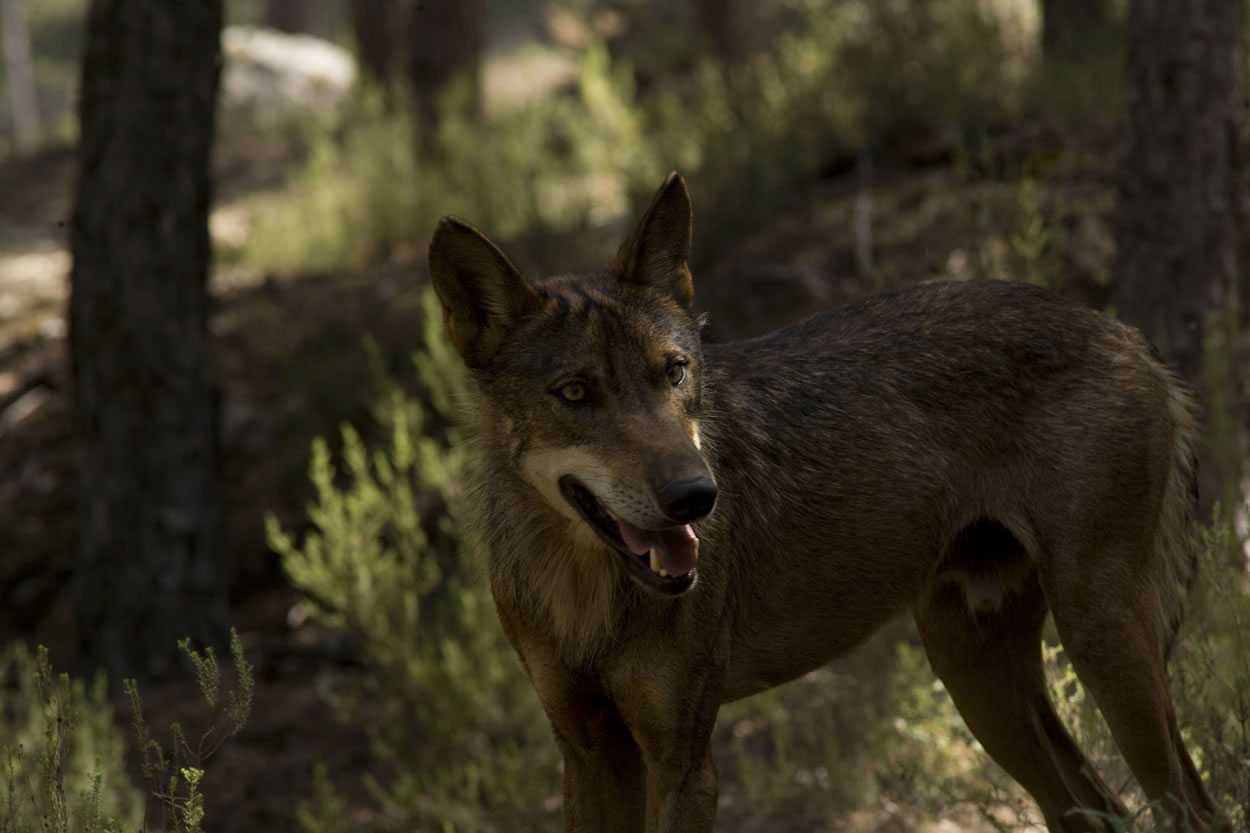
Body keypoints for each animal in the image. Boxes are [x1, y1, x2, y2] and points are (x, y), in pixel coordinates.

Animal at [427, 172, 1225, 833]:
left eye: (674, 371)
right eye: (574, 392)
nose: (696, 497)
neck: (583, 590)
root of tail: (1126, 333)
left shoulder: (685, 764)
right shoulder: (591, 753)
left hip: (1099, 643)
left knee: (1190, 809)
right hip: (977, 677)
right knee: (1098, 809)